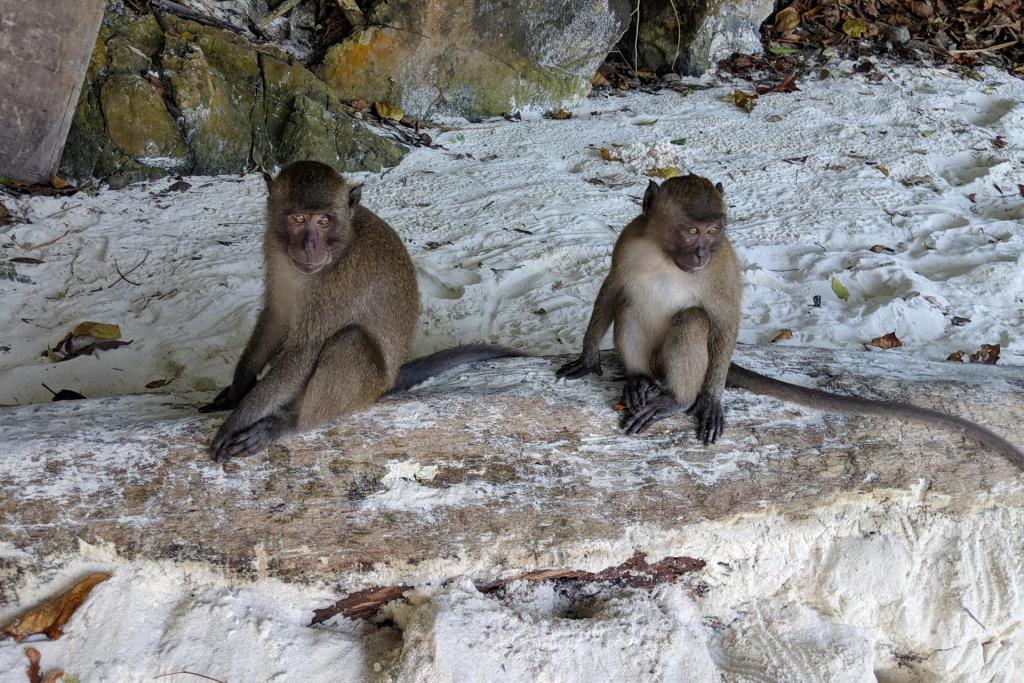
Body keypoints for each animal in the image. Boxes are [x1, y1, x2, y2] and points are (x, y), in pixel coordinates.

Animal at [200, 160, 519, 461]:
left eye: (324, 220)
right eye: (299, 218)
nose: (310, 246)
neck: (338, 246)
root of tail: (388, 382)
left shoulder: (338, 283)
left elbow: (304, 352)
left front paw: (238, 420)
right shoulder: (274, 250)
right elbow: (276, 317)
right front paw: (238, 389)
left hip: (366, 386)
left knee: (350, 340)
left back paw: (291, 423)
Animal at [558, 174, 1024, 469]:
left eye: (714, 231)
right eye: (691, 231)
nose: (703, 253)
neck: (663, 253)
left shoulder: (724, 263)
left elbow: (724, 318)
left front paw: (710, 400)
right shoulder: (628, 239)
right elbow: (614, 287)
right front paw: (587, 356)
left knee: (693, 320)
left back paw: (676, 398)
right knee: (631, 303)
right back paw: (637, 379)